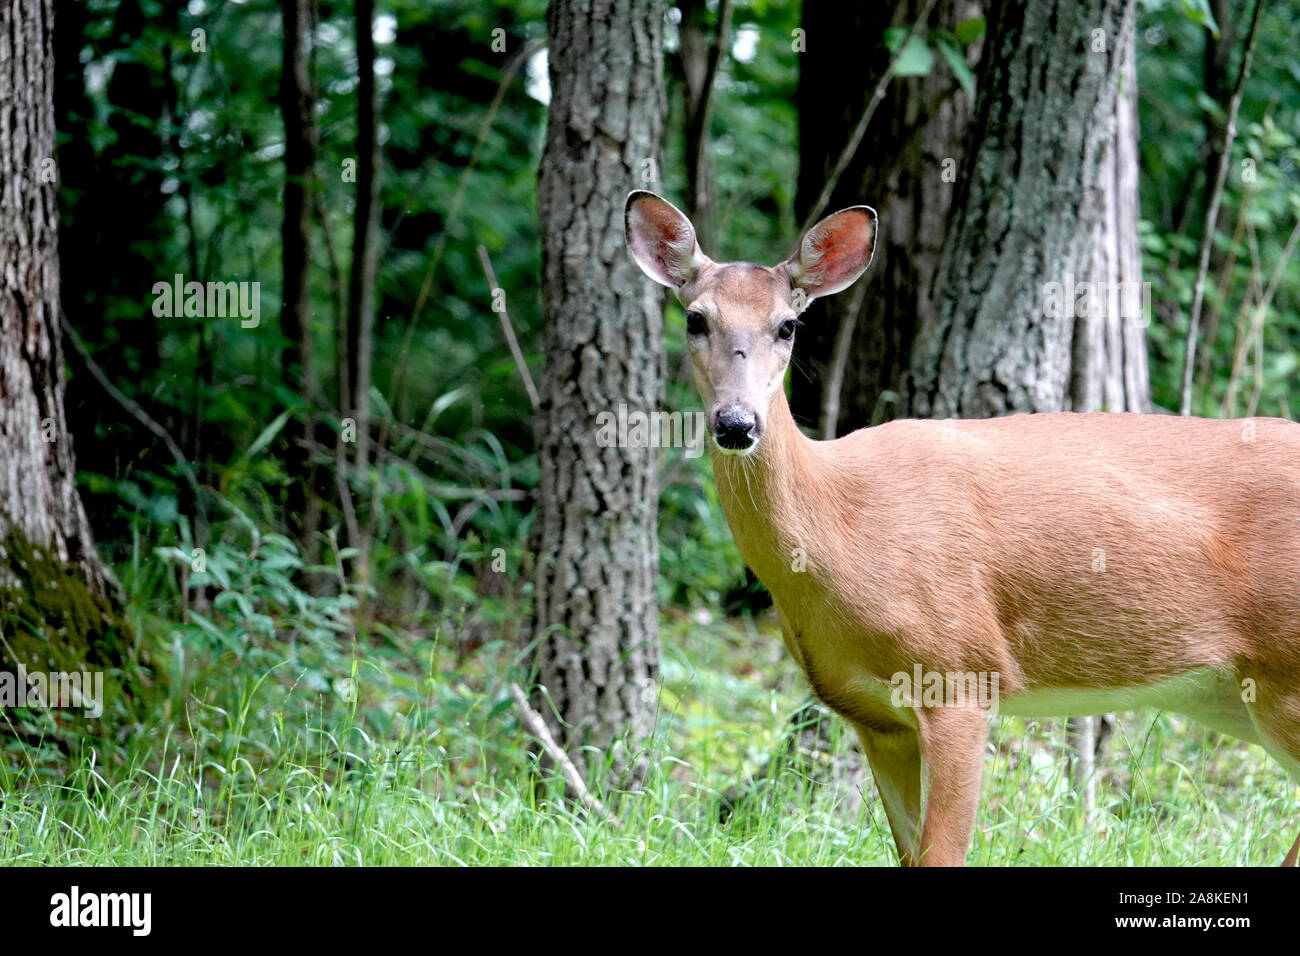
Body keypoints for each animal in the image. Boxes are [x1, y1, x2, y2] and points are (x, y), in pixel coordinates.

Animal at [624, 189, 1300, 866]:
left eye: (787, 325)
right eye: (695, 319)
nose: (737, 423)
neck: (844, 527)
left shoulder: (959, 673)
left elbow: (942, 854)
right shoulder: (875, 717)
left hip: (1286, 670)